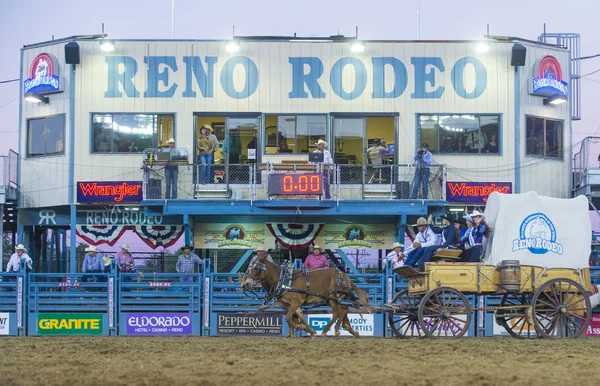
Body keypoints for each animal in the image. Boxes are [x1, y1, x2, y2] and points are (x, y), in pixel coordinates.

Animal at [239, 253, 370, 338]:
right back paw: (348, 330)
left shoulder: (296, 302)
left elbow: (288, 318)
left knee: (337, 313)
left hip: (333, 297)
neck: (284, 280)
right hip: (331, 299)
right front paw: (310, 331)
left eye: (256, 267)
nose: (245, 284)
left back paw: (327, 331)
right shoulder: (290, 305)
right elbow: (299, 317)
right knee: (344, 310)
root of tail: (345, 276)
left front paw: (301, 328)